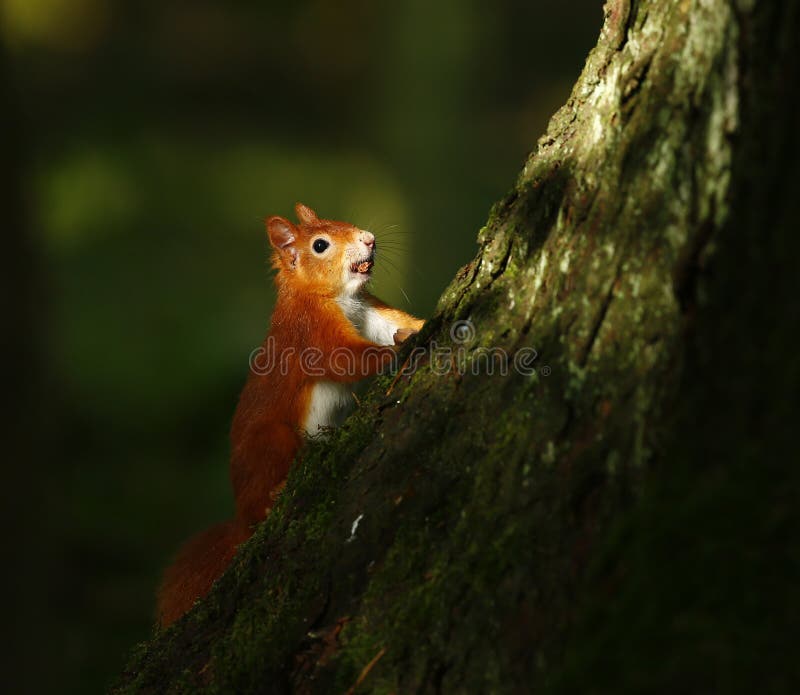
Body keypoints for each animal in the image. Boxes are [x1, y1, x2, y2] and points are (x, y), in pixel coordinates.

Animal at [156, 203, 424, 626]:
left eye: (343, 222)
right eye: (320, 245)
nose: (368, 238)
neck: (324, 294)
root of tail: (240, 519)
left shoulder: (369, 312)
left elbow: (395, 324)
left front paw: (422, 327)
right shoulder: (311, 331)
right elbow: (346, 360)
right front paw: (398, 351)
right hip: (272, 440)